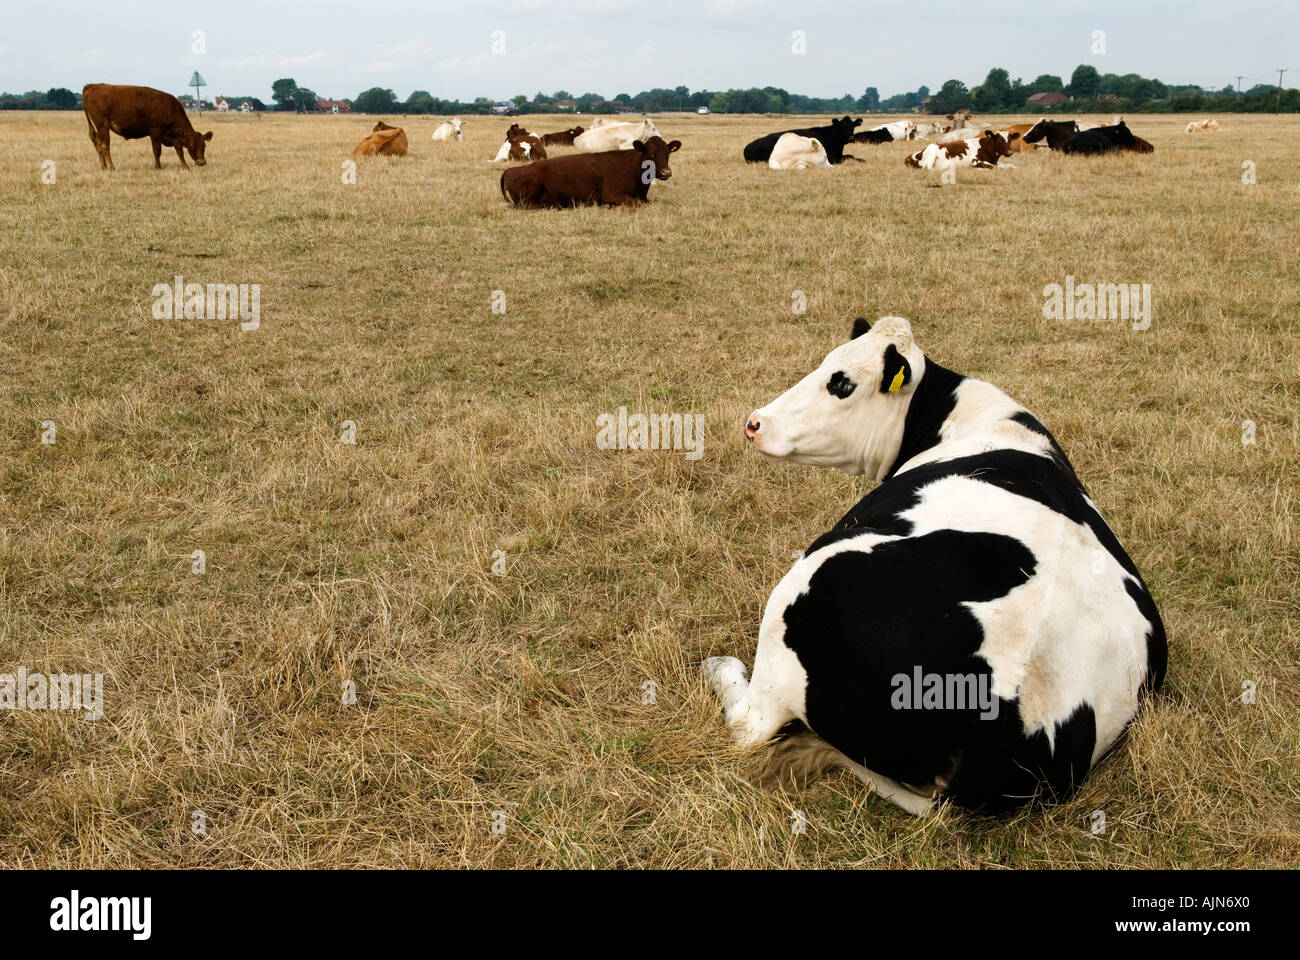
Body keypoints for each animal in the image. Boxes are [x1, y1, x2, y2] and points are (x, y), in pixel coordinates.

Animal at [82, 83, 213, 170]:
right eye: (191, 146)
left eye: (204, 146)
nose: (201, 162)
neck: (168, 108)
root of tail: (93, 85)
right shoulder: (155, 132)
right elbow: (157, 151)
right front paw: (158, 167)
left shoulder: (173, 135)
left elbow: (179, 150)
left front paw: (184, 166)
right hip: (102, 125)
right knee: (104, 146)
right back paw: (111, 166)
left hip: (99, 128)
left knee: (98, 144)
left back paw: (103, 166)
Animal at [500, 136, 681, 208]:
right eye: (651, 154)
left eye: (668, 153)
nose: (666, 172)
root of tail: (511, 170)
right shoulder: (611, 194)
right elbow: (634, 202)